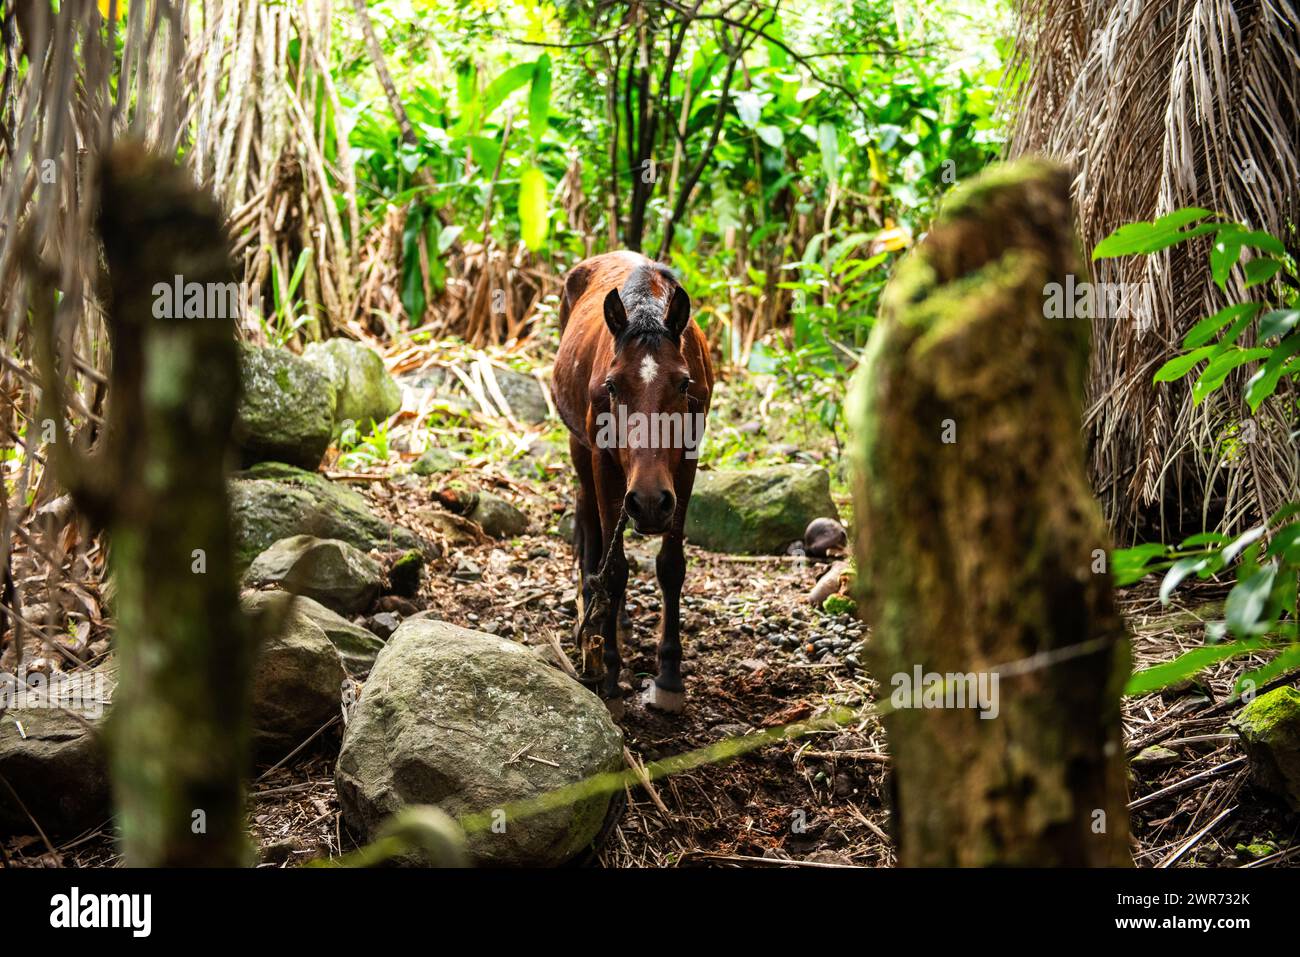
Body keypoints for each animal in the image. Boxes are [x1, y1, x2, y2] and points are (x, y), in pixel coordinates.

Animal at [552, 251, 714, 714]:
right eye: (612, 385)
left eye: (683, 383)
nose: (649, 502)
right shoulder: (603, 461)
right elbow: (616, 568)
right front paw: (608, 673)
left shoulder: (687, 462)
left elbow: (671, 566)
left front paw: (670, 676)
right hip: (581, 448)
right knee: (590, 520)